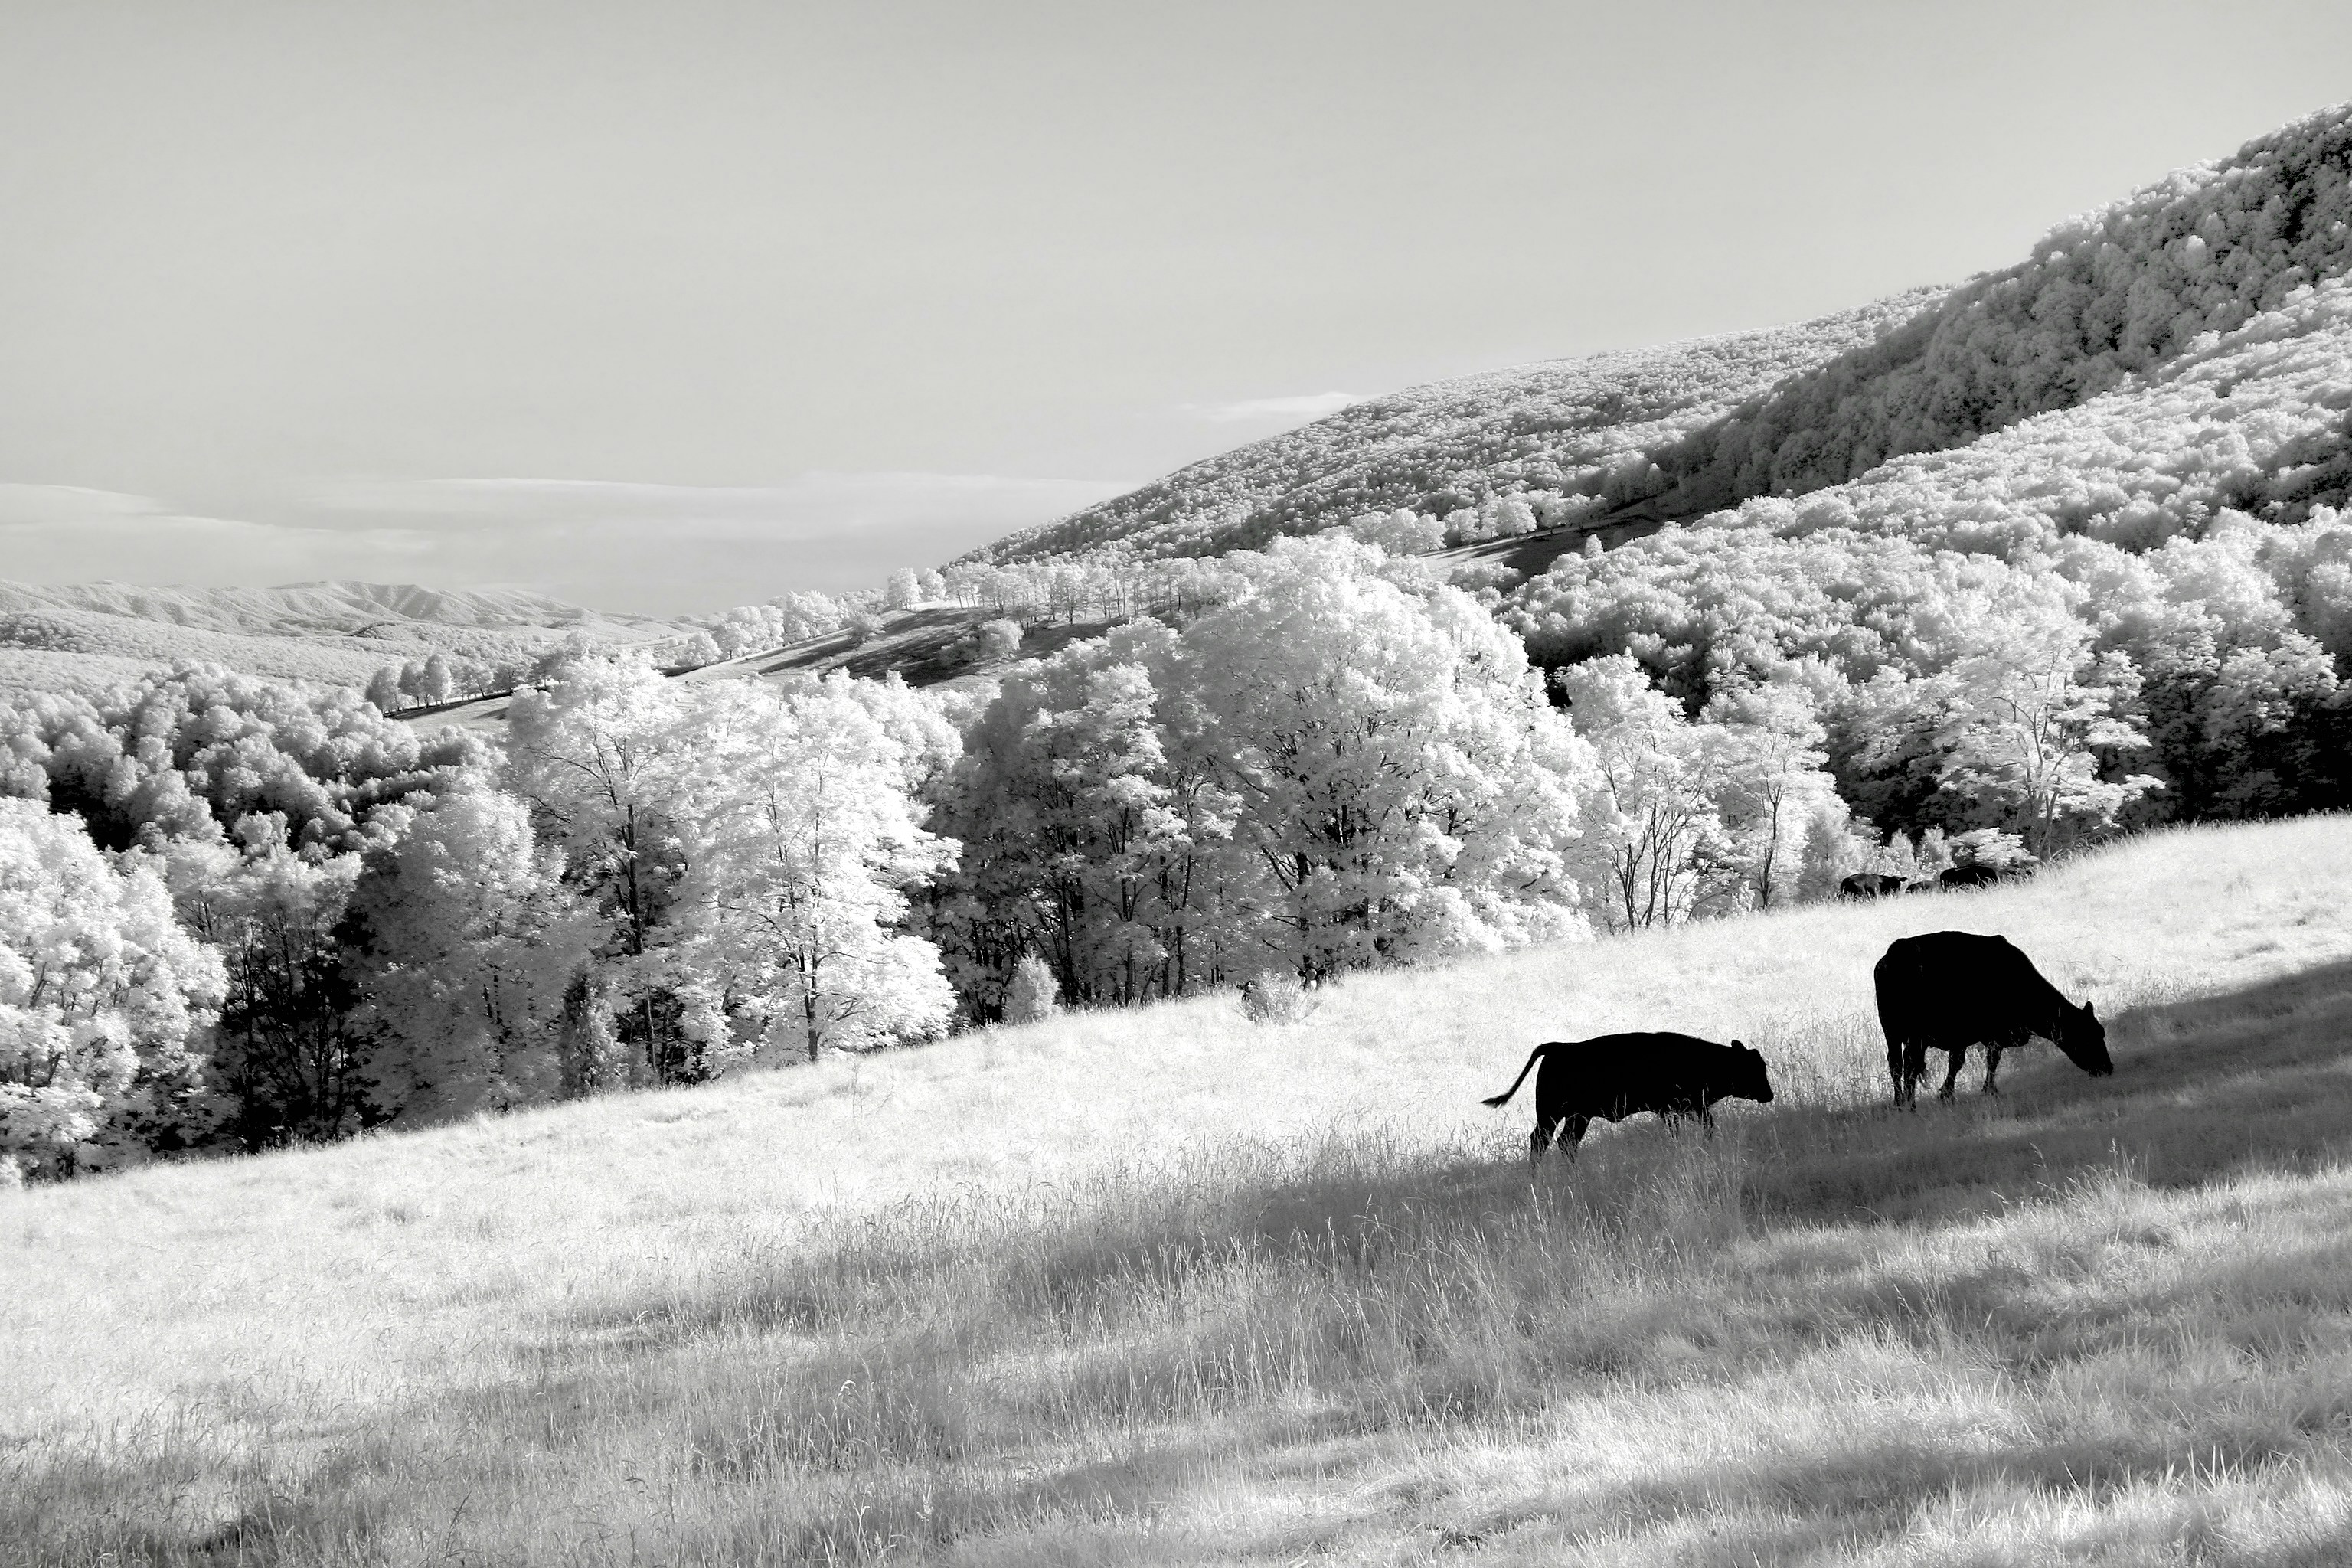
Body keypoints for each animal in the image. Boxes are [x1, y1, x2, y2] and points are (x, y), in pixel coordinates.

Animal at [1481, 1032, 1775, 1163]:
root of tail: (1558, 1048)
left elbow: (1709, 1126)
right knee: (1542, 1141)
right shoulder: (1670, 1111)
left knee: (1565, 1142)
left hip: (1577, 1116)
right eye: (1753, 1069)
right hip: (1552, 1114)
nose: (1769, 1095)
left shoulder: (1695, 1109)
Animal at [1874, 931, 2112, 1108]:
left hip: (1893, 1032)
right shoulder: (1985, 1034)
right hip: (1915, 1036)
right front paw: (1984, 1090)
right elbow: (1986, 1060)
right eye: (2087, 1037)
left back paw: (1900, 1102)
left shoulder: (1966, 1038)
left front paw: (1949, 1094)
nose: (2107, 1068)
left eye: (2101, 1033)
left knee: (1897, 1064)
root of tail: (1893, 956)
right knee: (1910, 1065)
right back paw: (1910, 1103)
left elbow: (1960, 1063)